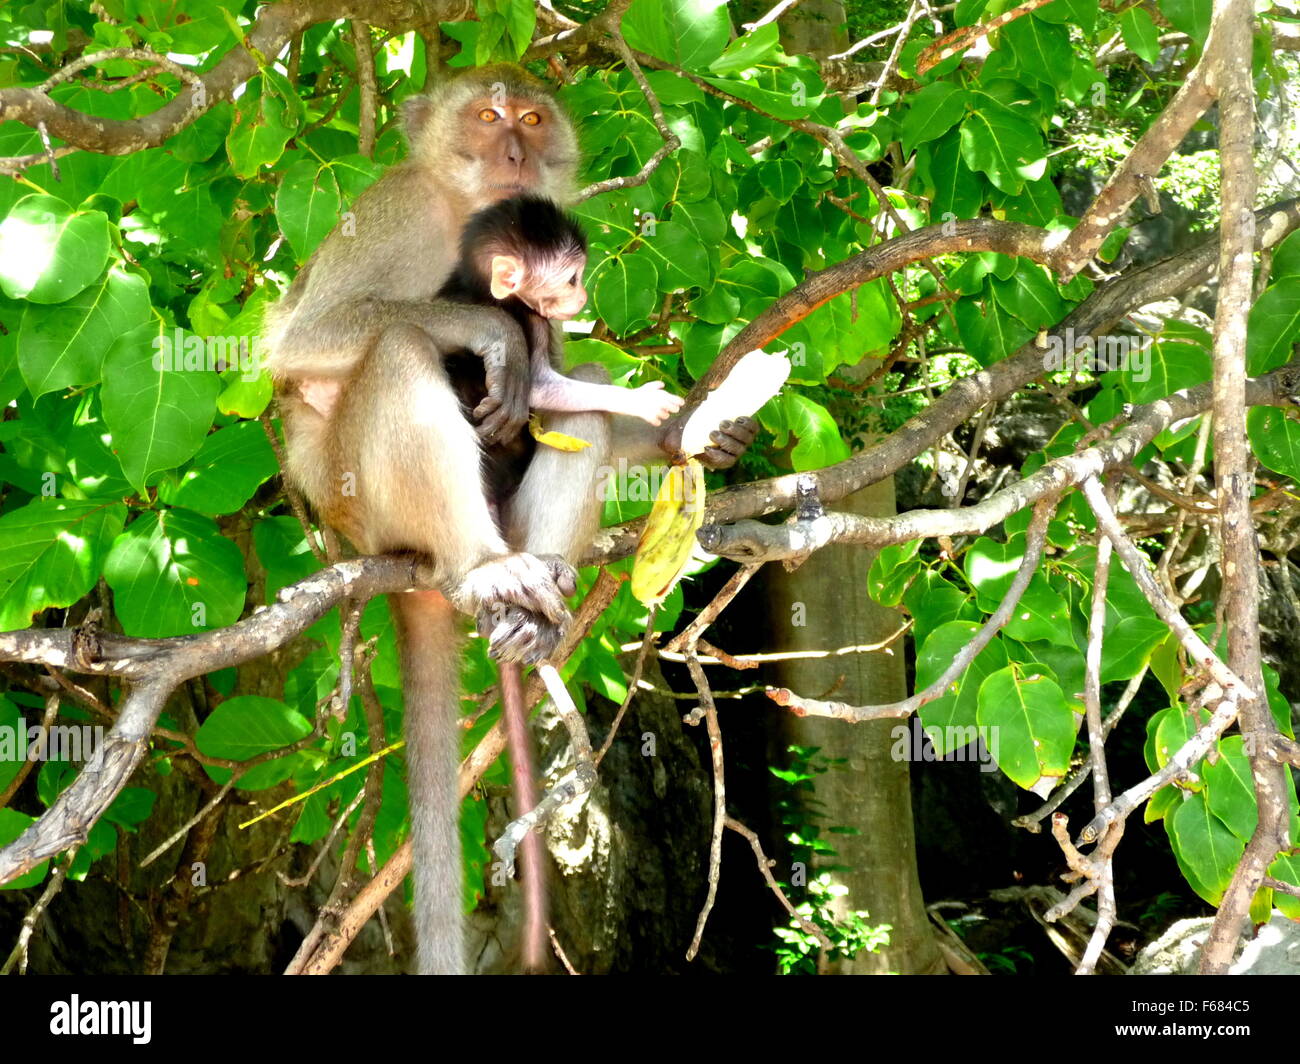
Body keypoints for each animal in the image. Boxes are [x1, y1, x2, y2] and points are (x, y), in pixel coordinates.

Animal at [265, 63, 756, 975]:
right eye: (488, 116)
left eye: (530, 118)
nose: (516, 153)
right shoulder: (388, 212)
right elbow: (302, 343)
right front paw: (489, 329)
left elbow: (570, 380)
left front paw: (689, 427)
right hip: (365, 507)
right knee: (397, 352)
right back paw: (480, 569)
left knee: (576, 406)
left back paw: (540, 593)